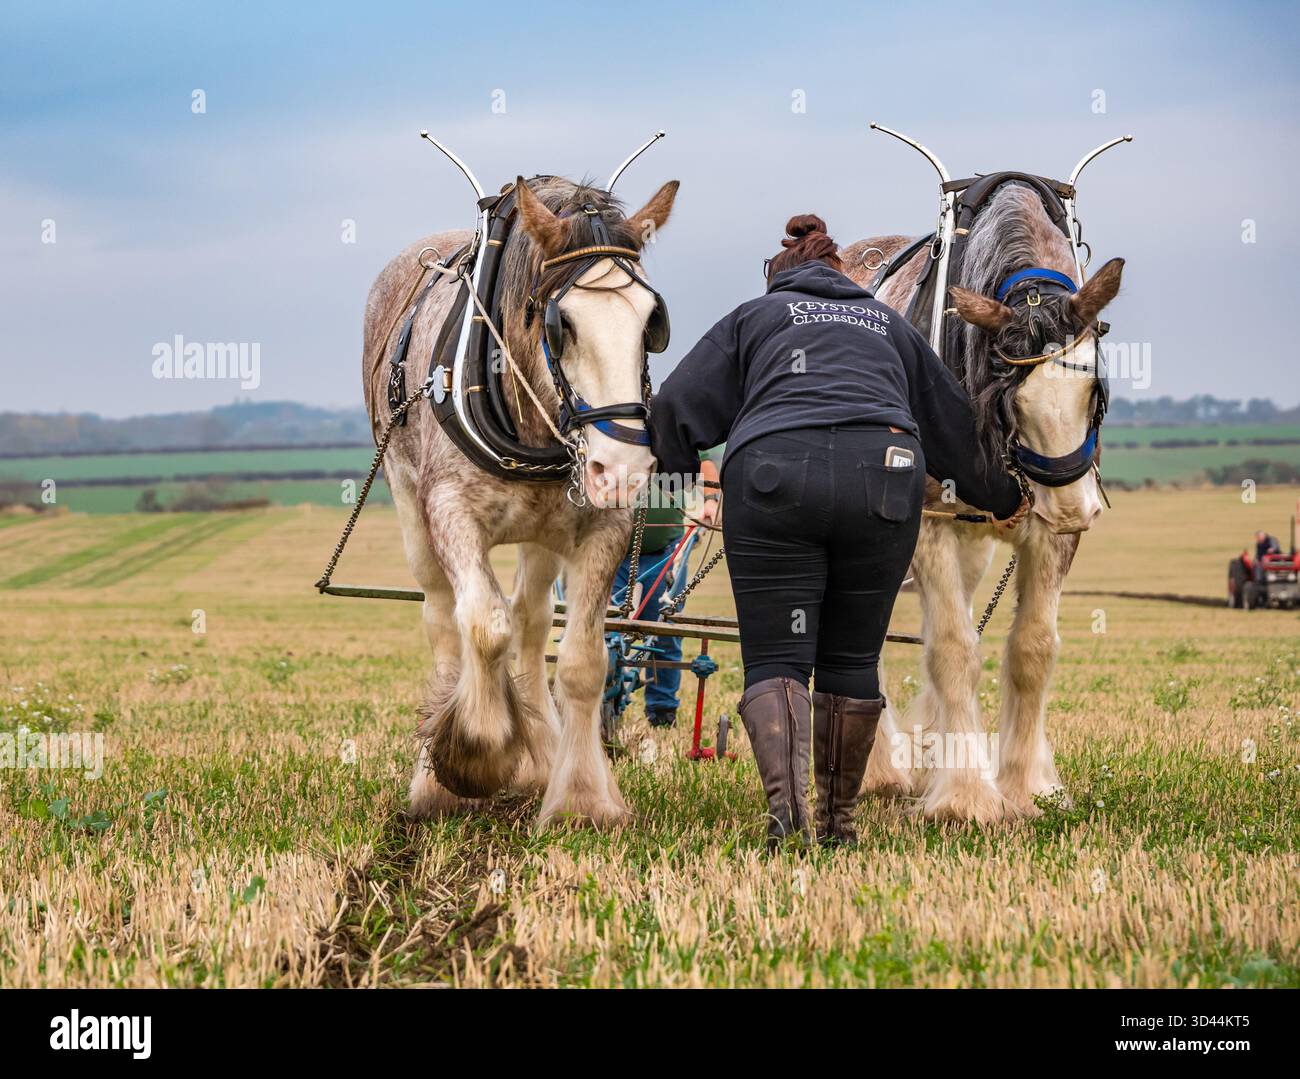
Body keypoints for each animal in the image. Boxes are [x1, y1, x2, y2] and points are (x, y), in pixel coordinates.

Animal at [362, 174, 679, 828]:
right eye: (564, 324)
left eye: (651, 323)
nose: (624, 466)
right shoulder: (449, 510)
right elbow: (483, 626)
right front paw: (472, 757)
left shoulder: (602, 525)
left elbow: (582, 662)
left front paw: (582, 797)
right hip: (410, 508)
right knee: (444, 618)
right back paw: (437, 778)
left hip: (542, 535)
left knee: (533, 622)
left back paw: (541, 754)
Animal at [840, 181, 1124, 822]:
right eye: (1009, 397)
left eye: (1093, 384)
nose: (1072, 509)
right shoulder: (929, 525)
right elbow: (953, 650)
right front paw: (967, 798)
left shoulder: (1048, 537)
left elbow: (1032, 650)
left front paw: (1022, 787)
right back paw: (880, 769)